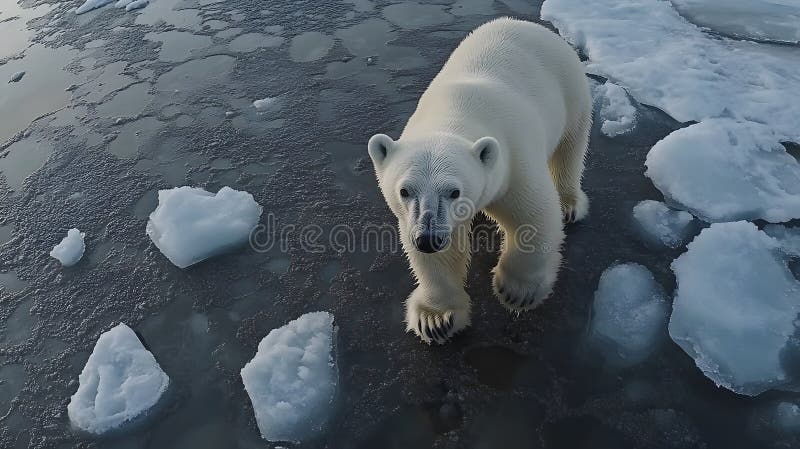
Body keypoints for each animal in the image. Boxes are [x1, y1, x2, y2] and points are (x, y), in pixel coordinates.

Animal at [367, 18, 592, 344]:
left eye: (454, 191)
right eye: (405, 190)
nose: (428, 239)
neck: (456, 112)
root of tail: (531, 26)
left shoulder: (513, 161)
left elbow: (533, 216)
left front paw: (516, 291)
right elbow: (440, 257)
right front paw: (436, 318)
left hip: (570, 90)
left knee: (570, 146)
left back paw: (569, 203)